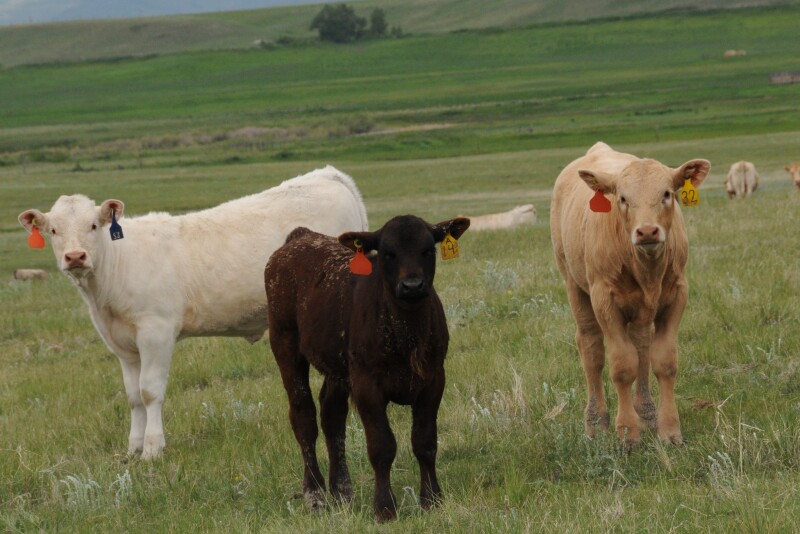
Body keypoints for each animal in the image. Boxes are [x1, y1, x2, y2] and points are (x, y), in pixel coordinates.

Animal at [17, 165, 368, 460]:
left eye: (93, 225)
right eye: (53, 230)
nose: (75, 256)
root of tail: (328, 174)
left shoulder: (156, 331)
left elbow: (149, 390)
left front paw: (152, 449)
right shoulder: (122, 344)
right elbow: (132, 396)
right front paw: (133, 448)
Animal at [265, 215, 469, 521]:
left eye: (428, 250)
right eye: (387, 253)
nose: (412, 285)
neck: (406, 336)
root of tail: (300, 237)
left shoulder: (433, 380)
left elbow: (425, 442)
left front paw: (432, 499)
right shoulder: (367, 385)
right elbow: (382, 446)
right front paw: (384, 507)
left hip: (338, 366)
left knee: (332, 415)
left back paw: (342, 492)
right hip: (284, 342)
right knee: (304, 417)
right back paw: (315, 495)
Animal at [550, 142, 709, 447]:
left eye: (667, 194)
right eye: (622, 198)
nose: (647, 231)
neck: (646, 268)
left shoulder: (677, 295)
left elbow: (664, 361)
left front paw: (669, 430)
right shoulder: (604, 300)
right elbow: (623, 365)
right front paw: (626, 433)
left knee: (642, 345)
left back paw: (646, 413)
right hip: (574, 285)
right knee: (591, 349)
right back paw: (595, 423)